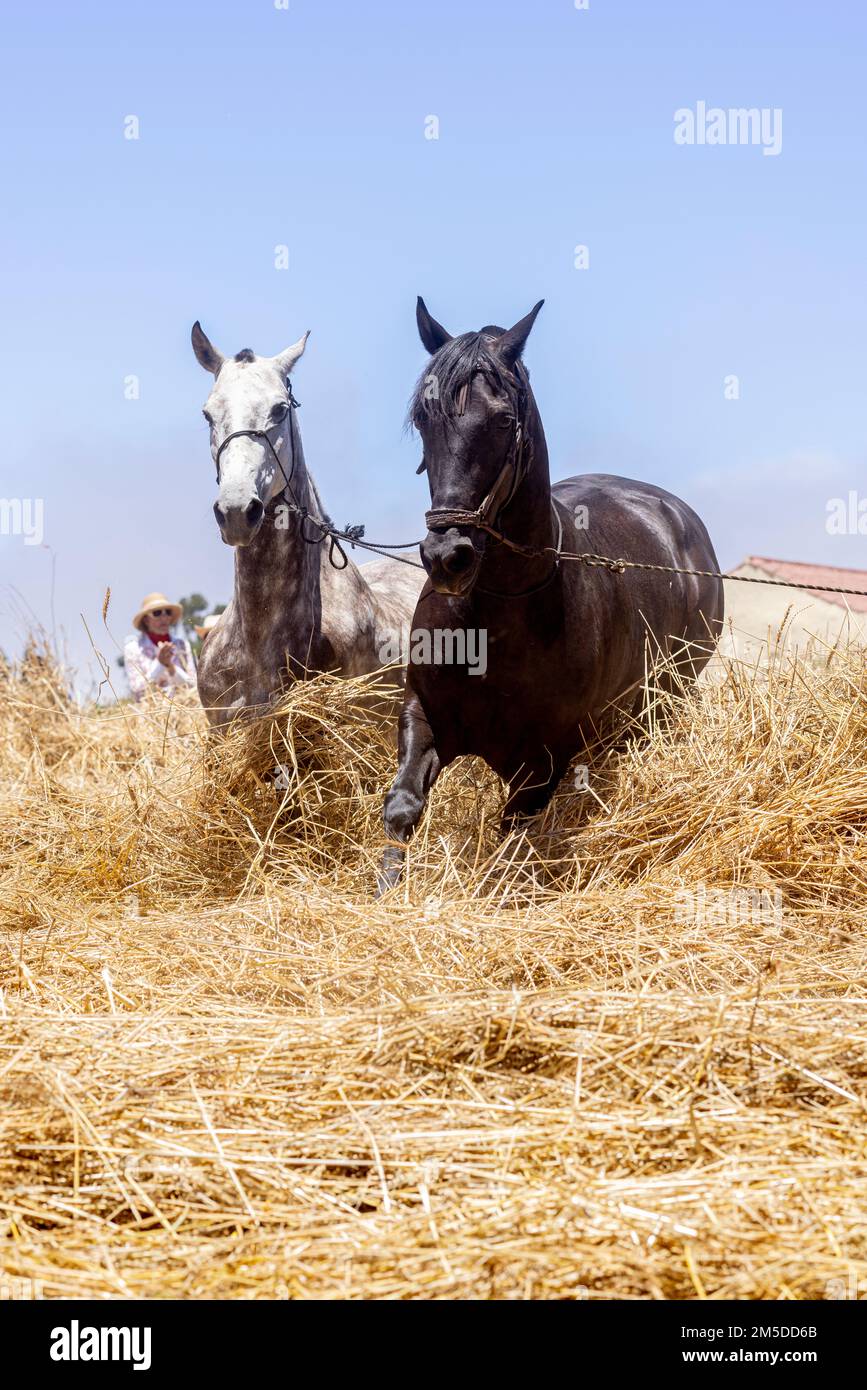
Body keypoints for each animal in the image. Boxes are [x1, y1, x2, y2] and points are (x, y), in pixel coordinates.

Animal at [379, 298, 724, 888]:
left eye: (502, 420)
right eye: (424, 418)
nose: (448, 556)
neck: (498, 610)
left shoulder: (541, 765)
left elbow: (510, 845)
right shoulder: (424, 716)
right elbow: (402, 805)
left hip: (666, 696)